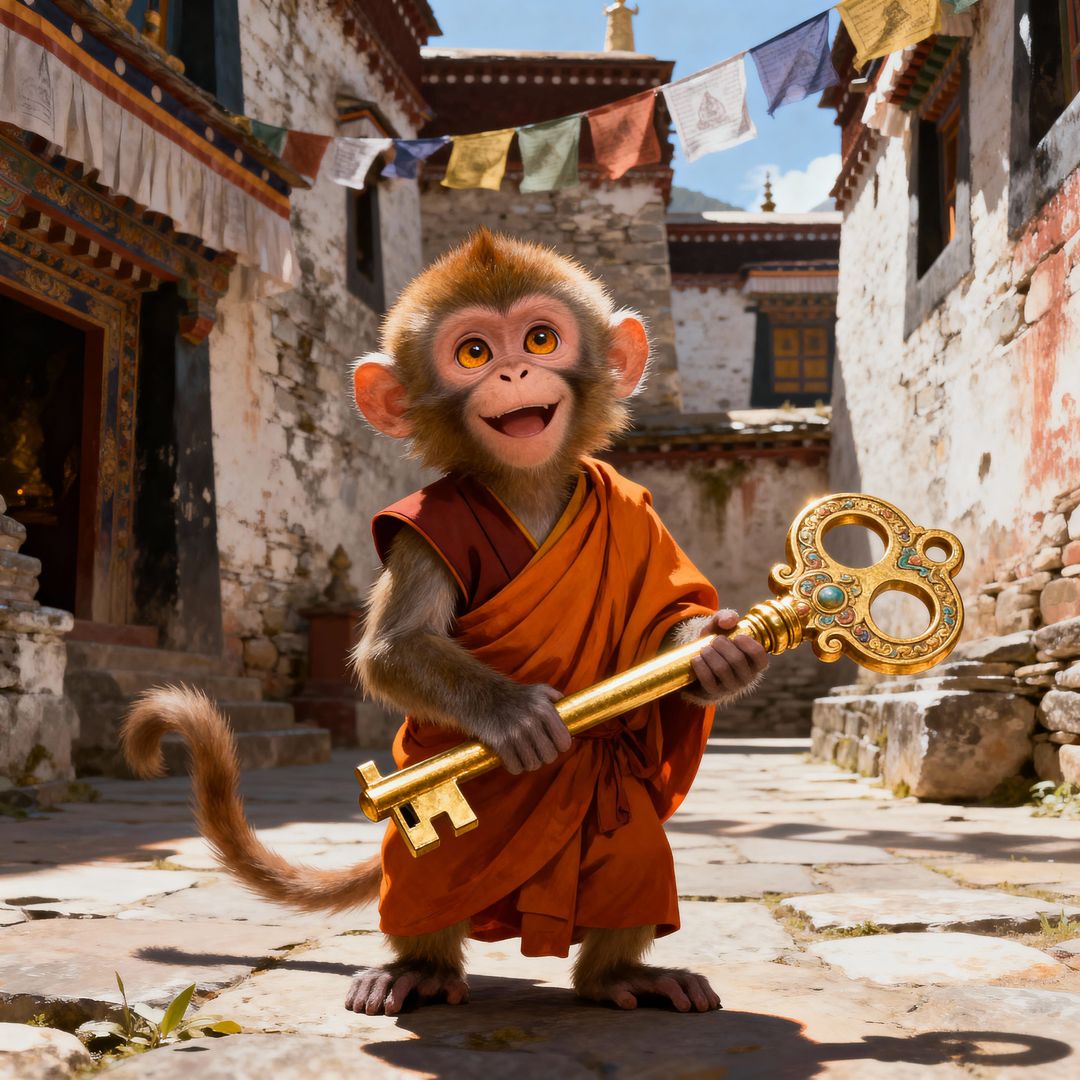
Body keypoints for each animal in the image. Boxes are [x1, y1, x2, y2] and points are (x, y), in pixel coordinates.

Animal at [122, 228, 767, 1021]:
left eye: (541, 338)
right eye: (473, 353)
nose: (516, 369)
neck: (525, 487)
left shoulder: (638, 514)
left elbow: (660, 628)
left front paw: (716, 656)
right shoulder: (421, 531)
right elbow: (392, 650)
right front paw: (516, 717)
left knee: (634, 857)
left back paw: (617, 977)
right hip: (423, 847)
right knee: (427, 881)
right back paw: (418, 969)